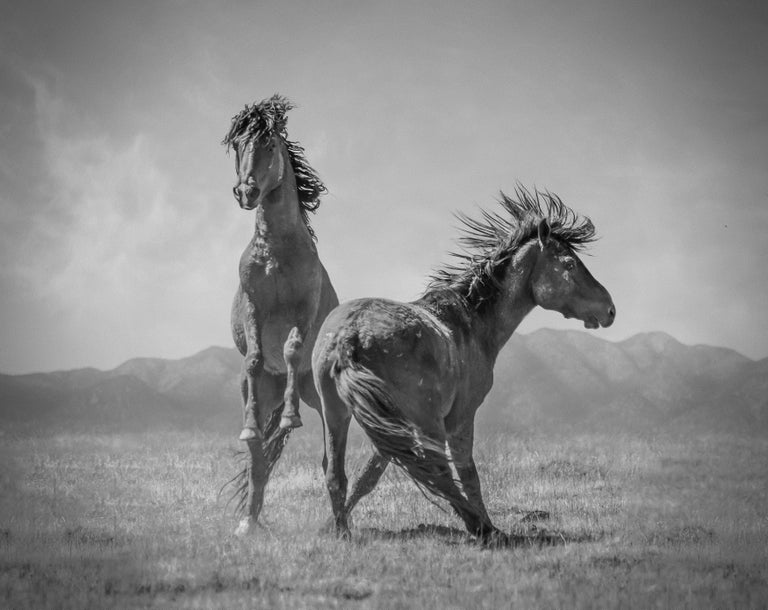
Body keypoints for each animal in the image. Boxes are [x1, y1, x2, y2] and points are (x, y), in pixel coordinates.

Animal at [223, 94, 338, 535]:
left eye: (269, 145)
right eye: (238, 146)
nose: (246, 191)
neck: (276, 248)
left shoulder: (304, 308)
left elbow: (290, 349)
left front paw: (290, 419)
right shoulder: (254, 307)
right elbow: (257, 356)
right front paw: (251, 424)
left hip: (320, 397)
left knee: (328, 456)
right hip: (256, 394)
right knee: (258, 460)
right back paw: (248, 523)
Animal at [312, 187, 615, 545]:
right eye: (569, 263)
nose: (610, 309)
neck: (471, 321)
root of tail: (351, 334)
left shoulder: (392, 424)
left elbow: (370, 473)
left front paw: (335, 524)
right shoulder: (458, 418)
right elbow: (467, 473)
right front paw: (487, 527)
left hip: (338, 414)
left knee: (336, 472)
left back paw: (343, 529)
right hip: (423, 420)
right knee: (438, 469)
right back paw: (477, 526)